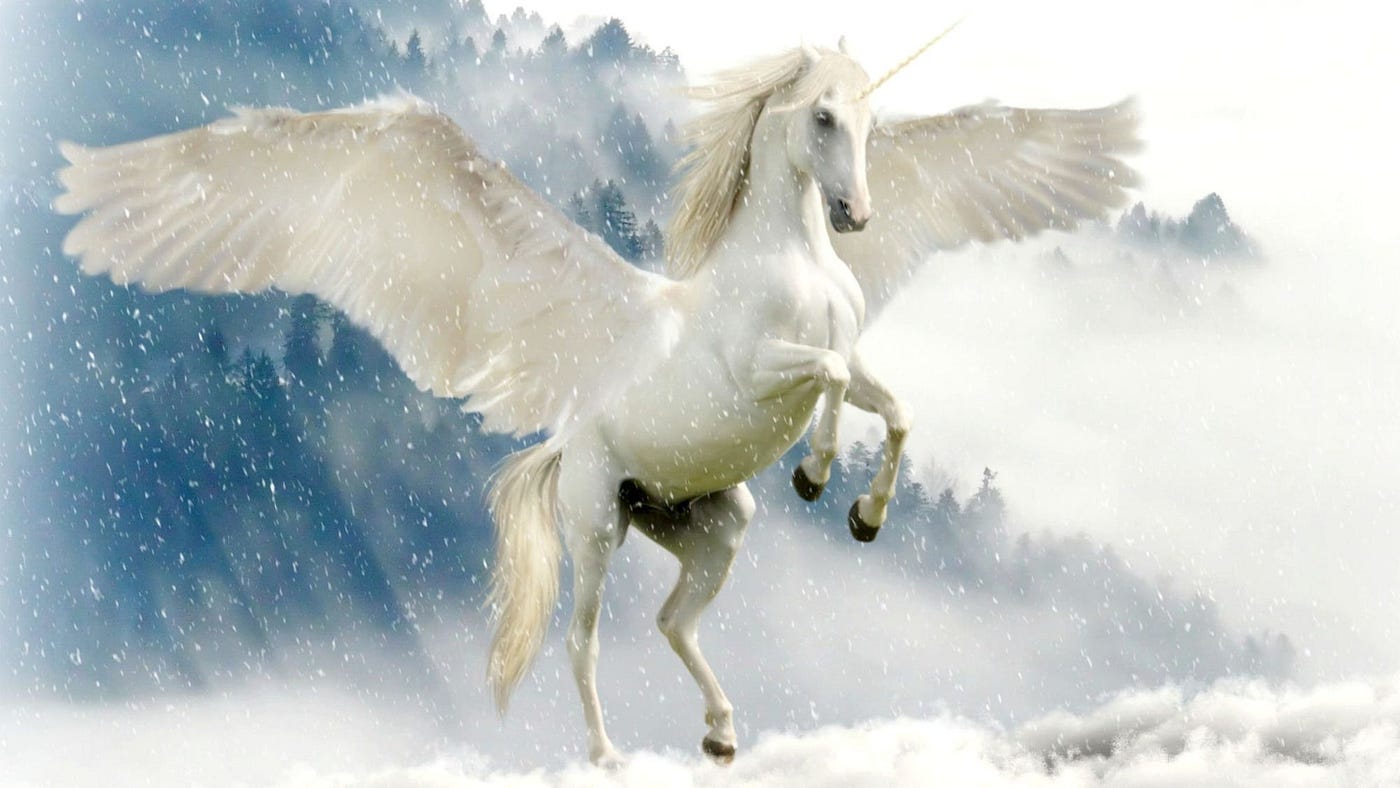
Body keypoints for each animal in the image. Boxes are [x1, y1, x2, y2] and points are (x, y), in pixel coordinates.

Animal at [54, 32, 1139, 765]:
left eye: (875, 122)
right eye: (823, 117)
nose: (856, 215)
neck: (782, 260)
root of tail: (568, 445)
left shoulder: (843, 353)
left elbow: (895, 402)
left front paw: (863, 512)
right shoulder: (766, 368)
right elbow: (833, 384)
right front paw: (819, 471)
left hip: (708, 524)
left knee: (672, 624)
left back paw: (720, 733)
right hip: (594, 525)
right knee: (580, 642)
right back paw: (609, 755)